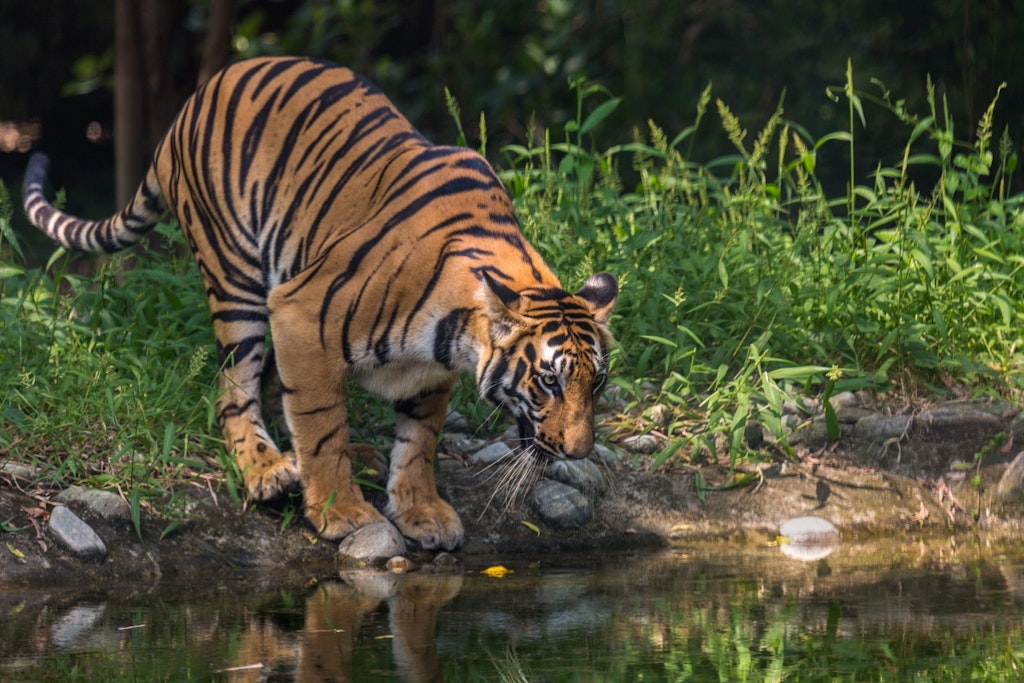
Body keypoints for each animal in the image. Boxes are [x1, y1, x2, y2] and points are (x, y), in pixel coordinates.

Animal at [22, 56, 617, 551]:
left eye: (598, 383)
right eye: (548, 381)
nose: (579, 453)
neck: (453, 339)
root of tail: (198, 96)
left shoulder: (429, 374)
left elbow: (419, 443)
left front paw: (421, 512)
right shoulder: (301, 317)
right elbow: (320, 425)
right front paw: (342, 514)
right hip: (235, 278)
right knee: (234, 389)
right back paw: (268, 471)